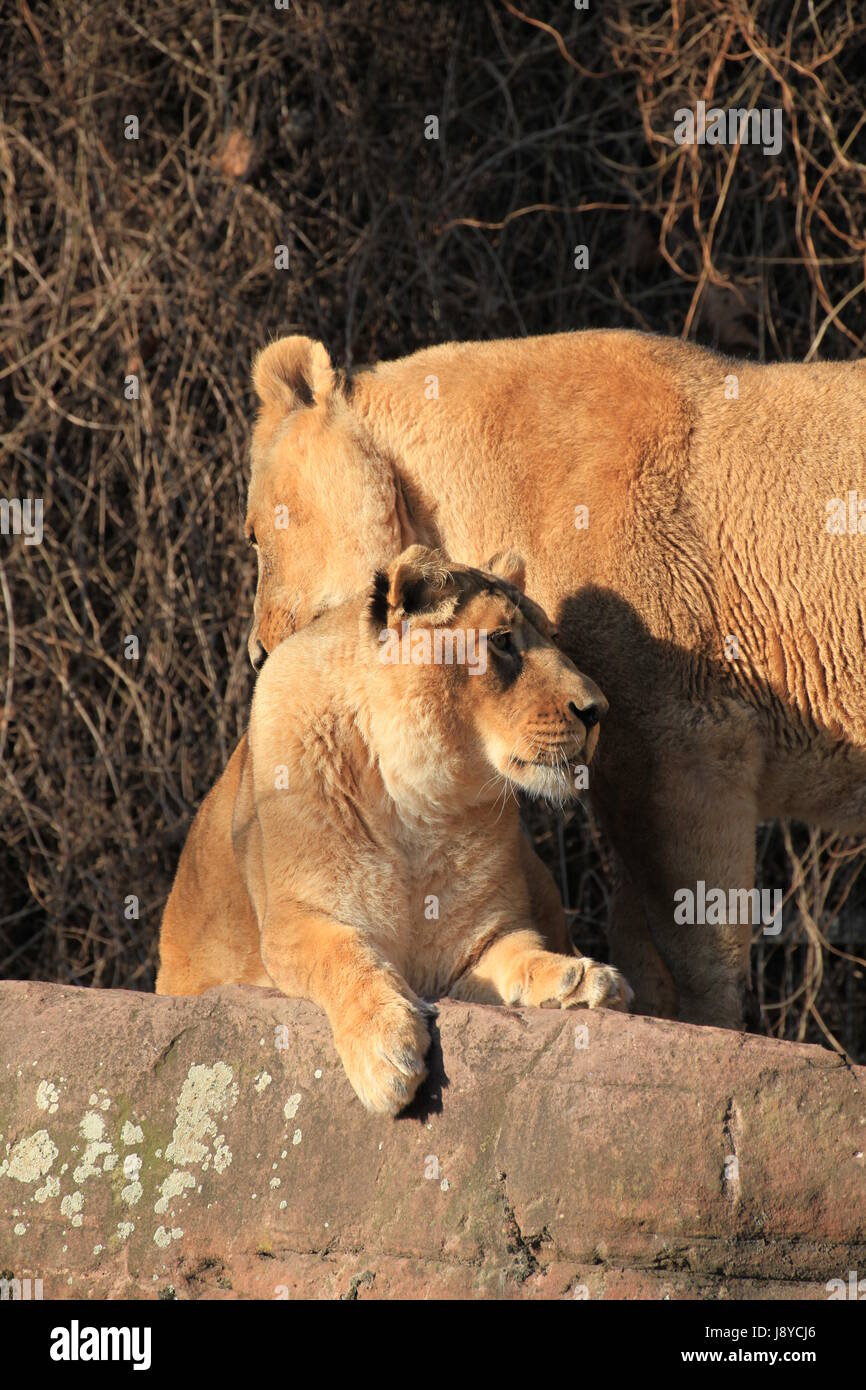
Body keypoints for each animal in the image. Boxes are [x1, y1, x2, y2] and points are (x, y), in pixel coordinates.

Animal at [157, 546, 630, 1114]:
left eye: (554, 638)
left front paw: (578, 979)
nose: (597, 709)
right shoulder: (293, 921)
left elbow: (522, 955)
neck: (419, 807)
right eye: (500, 640)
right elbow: (345, 955)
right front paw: (385, 1048)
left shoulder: (476, 947)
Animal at [243, 330, 866, 1029]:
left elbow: (701, 936)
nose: (257, 652)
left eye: (254, 534)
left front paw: (711, 1029)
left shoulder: (685, 736)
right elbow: (641, 934)